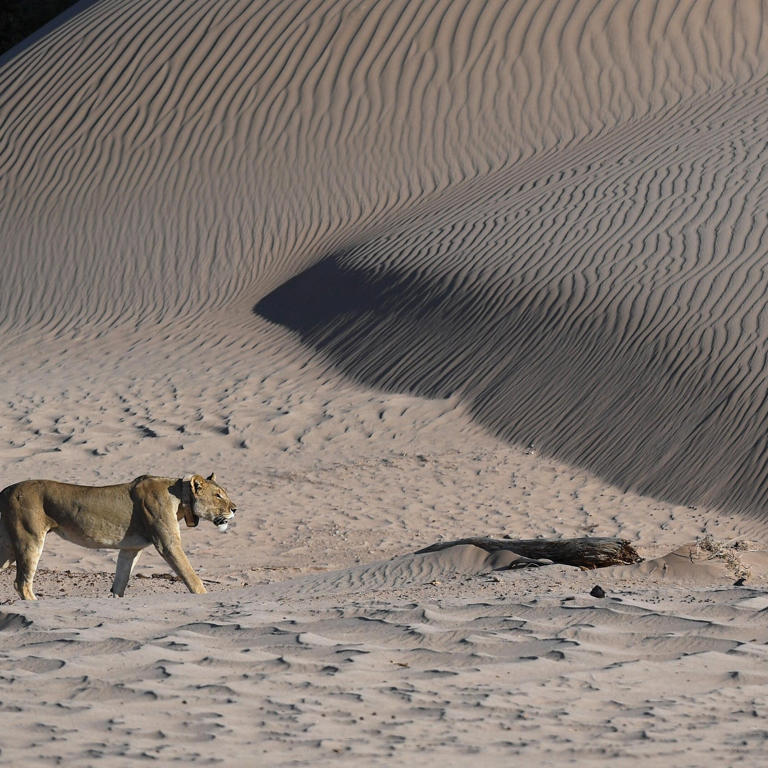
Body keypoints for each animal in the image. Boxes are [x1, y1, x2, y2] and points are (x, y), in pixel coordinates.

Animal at [0, 473, 236, 600]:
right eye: (218, 495)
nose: (235, 509)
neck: (179, 497)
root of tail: (6, 490)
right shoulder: (167, 543)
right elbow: (191, 576)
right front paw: (204, 597)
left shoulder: (130, 549)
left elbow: (120, 580)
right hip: (29, 539)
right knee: (21, 583)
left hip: (8, 546)